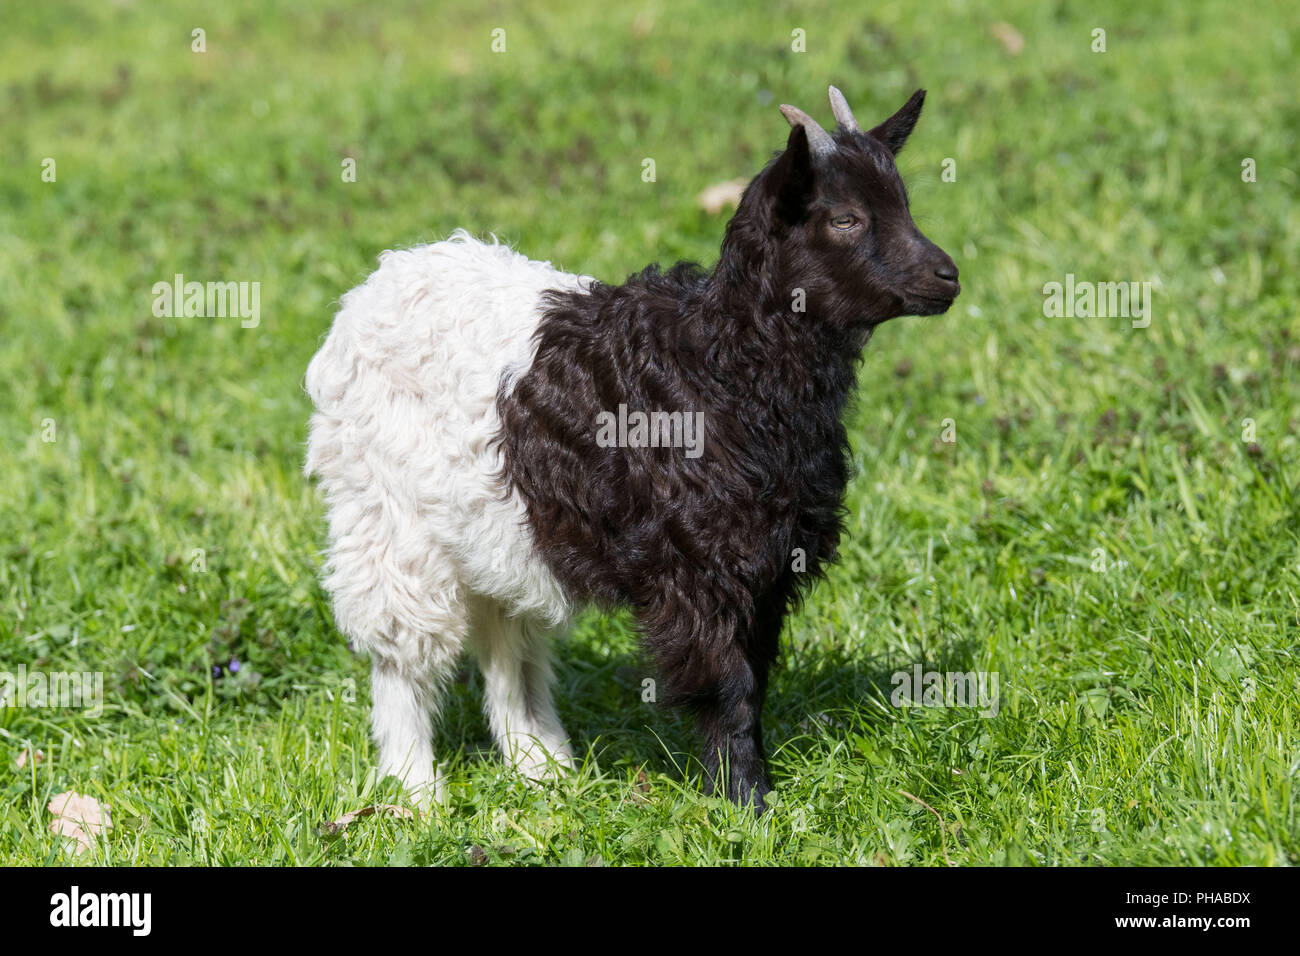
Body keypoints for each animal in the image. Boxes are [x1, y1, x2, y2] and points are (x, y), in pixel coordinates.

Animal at [304, 86, 959, 811]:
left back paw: (543, 767)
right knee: (404, 654)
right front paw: (745, 803)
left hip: (499, 525)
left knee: (508, 640)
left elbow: (753, 679)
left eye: (902, 202)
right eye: (845, 218)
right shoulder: (699, 566)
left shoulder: (766, 564)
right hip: (386, 520)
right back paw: (414, 791)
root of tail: (381, 282)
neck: (724, 363)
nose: (949, 276)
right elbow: (728, 685)